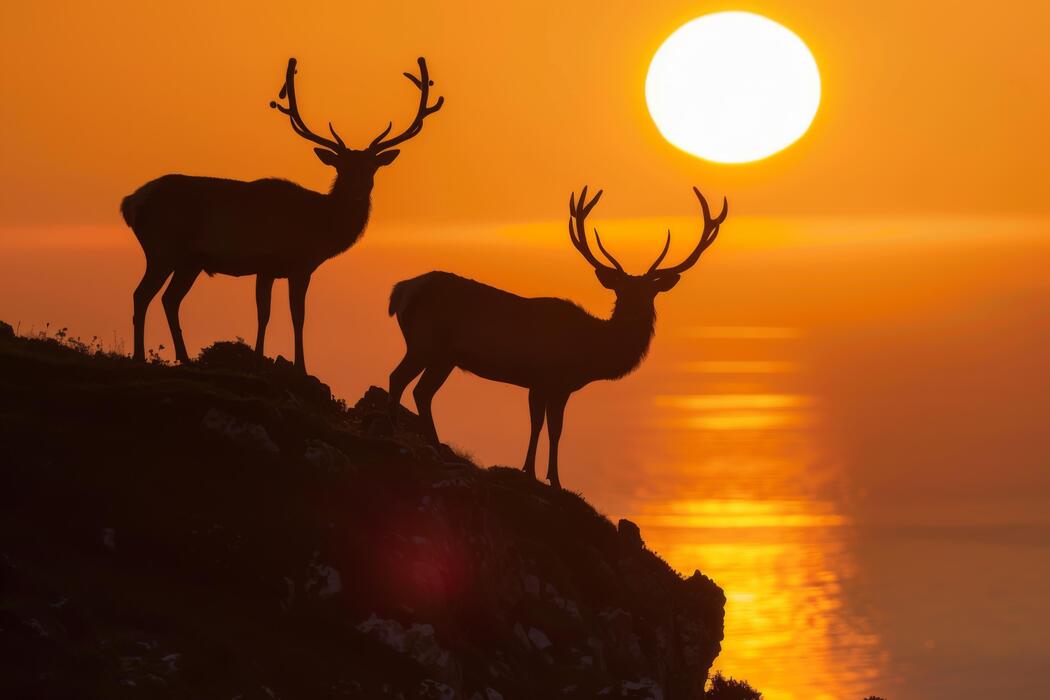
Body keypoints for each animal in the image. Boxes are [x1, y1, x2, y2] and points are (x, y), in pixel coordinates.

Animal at [120, 56, 443, 372]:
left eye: (371, 168)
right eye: (341, 167)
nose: (357, 192)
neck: (319, 227)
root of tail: (131, 202)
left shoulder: (277, 268)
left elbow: (269, 313)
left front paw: (261, 358)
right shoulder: (289, 264)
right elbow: (289, 314)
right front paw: (298, 366)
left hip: (190, 261)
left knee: (169, 299)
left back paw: (184, 358)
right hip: (162, 249)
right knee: (141, 294)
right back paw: (139, 356)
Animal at [387, 186, 728, 488]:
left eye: (650, 294)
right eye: (620, 292)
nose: (633, 313)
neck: (589, 351)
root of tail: (401, 291)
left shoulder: (557, 386)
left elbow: (553, 427)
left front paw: (546, 475)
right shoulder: (544, 378)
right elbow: (544, 426)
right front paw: (539, 474)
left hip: (441, 355)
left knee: (420, 391)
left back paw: (432, 446)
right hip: (427, 344)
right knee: (400, 380)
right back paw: (396, 434)